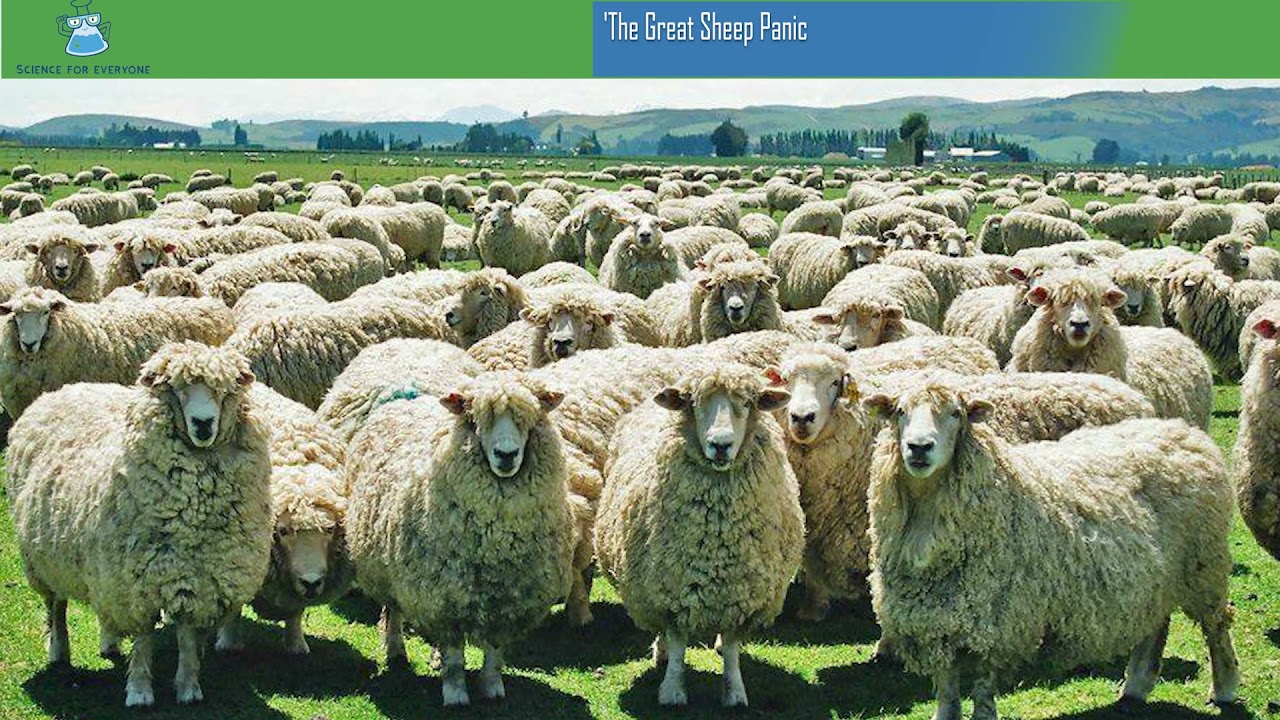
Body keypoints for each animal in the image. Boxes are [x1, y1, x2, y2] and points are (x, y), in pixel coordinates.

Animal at [6, 342, 273, 707]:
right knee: (56, 607)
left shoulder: (195, 579)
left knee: (101, 611)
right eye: (175, 388)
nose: (203, 424)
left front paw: (188, 686)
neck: (195, 512)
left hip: (102, 568)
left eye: (223, 390)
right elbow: (144, 639)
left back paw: (109, 641)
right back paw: (59, 650)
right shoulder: (138, 581)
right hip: (45, 561)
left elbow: (186, 638)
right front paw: (140, 690)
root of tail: (65, 389)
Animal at [215, 384, 353, 656]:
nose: (311, 582)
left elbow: (296, 611)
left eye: (329, 529)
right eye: (282, 531)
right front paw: (228, 641)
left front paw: (296, 643)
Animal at [346, 373, 579, 706]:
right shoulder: (445, 597)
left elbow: (494, 650)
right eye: (475, 419)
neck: (497, 542)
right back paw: (396, 651)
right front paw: (455, 694)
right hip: (390, 571)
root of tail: (404, 398)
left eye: (529, 418)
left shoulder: (506, 597)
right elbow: (455, 655)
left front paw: (492, 687)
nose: (506, 455)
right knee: (393, 610)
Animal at [595, 363, 803, 707]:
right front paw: (672, 690)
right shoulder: (670, 590)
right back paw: (662, 653)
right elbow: (678, 642)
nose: (721, 445)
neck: (717, 536)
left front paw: (735, 692)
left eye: (748, 402)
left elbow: (731, 647)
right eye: (694, 403)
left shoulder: (741, 595)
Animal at [865, 379, 1238, 719]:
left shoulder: (996, 622)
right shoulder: (937, 622)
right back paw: (1136, 687)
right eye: (900, 411)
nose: (919, 447)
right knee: (1155, 625)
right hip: (1159, 577)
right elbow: (946, 687)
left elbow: (982, 688)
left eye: (956, 413)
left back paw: (1225, 688)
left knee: (1217, 626)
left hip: (1203, 565)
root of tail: (1182, 430)